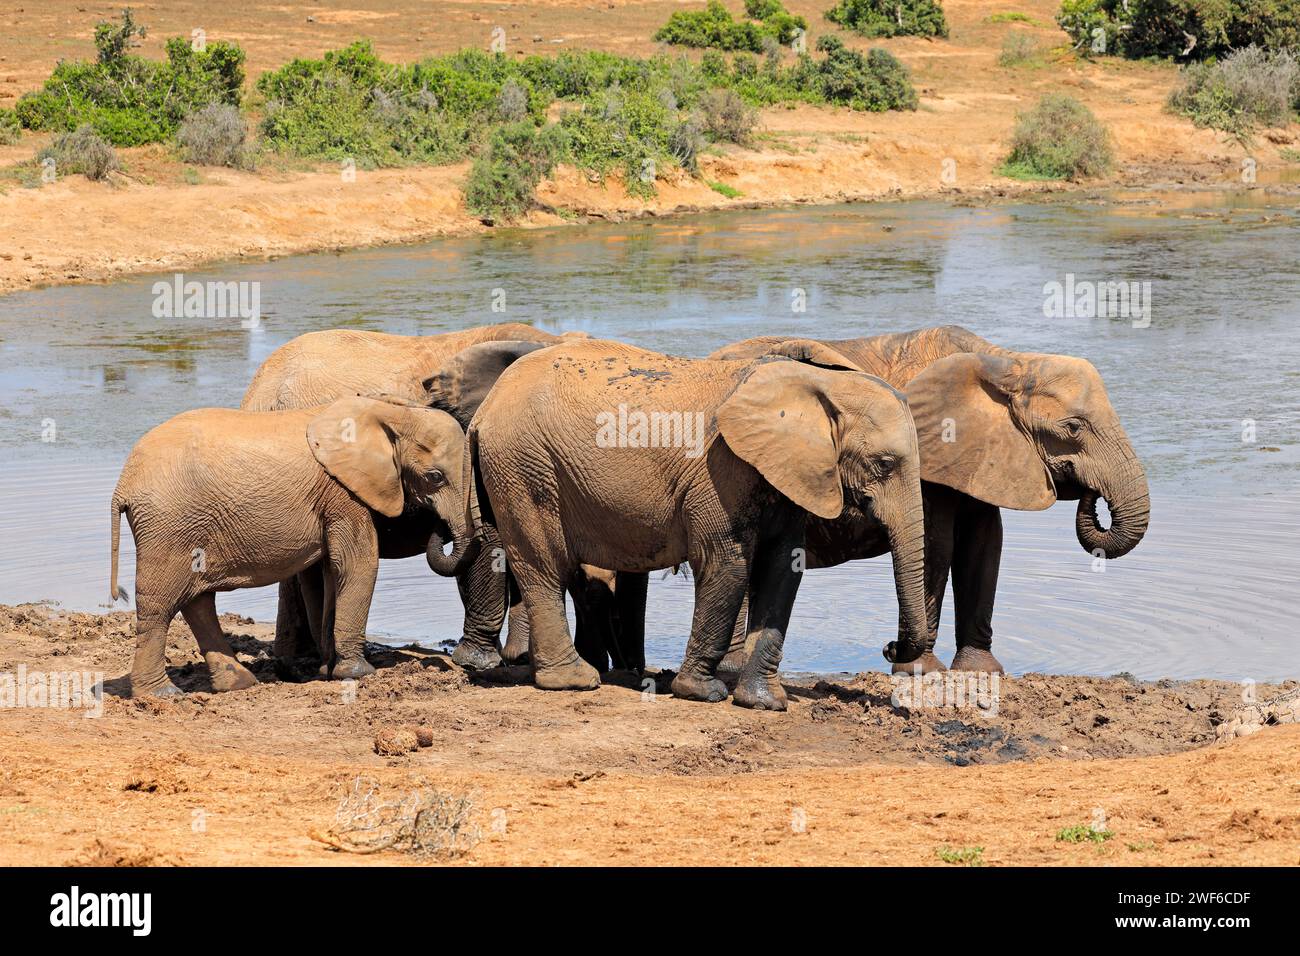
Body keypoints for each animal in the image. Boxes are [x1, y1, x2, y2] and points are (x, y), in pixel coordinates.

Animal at [109, 396, 472, 697]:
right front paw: (358, 673)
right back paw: (162, 695)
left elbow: (329, 572)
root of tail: (122, 486)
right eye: (435, 477)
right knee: (160, 605)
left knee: (198, 600)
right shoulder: (343, 492)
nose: (436, 524)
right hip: (169, 525)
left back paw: (239, 684)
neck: (391, 411)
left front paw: (327, 670)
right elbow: (358, 564)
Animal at [241, 322, 575, 672]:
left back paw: (294, 660)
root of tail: (258, 390)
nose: (435, 523)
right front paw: (482, 663)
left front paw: (514, 658)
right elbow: (491, 541)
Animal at [445, 339, 930, 708]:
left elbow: (782, 569)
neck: (818, 384)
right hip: (525, 465)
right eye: (884, 464)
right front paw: (703, 692)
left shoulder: (786, 472)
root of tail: (485, 410)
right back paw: (575, 681)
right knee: (545, 563)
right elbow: (727, 563)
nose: (888, 646)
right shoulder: (722, 469)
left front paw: (764, 703)